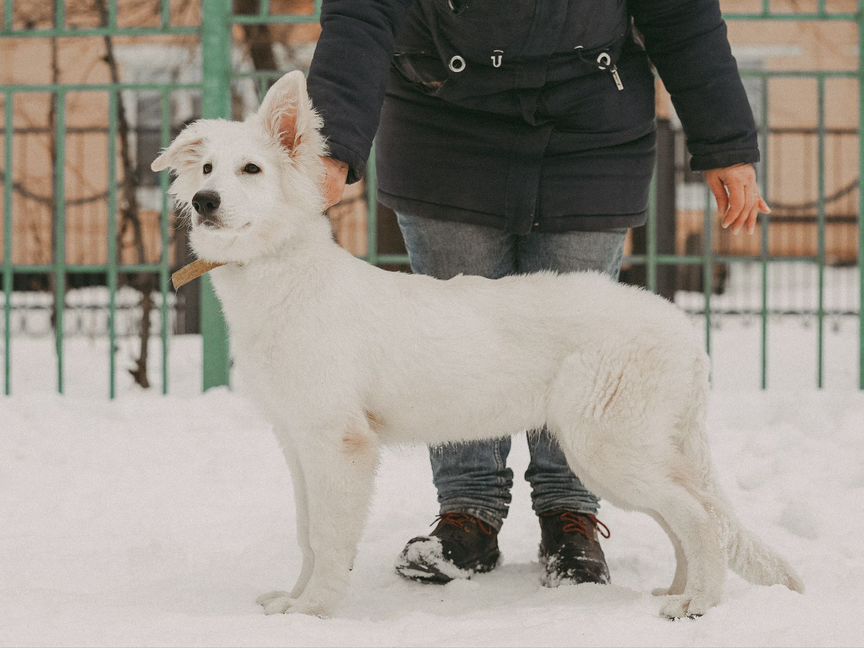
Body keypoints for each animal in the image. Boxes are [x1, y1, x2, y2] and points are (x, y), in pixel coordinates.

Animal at [154, 69, 804, 616]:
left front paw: (313, 610)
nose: (206, 202)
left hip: (604, 448)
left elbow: (326, 536)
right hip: (632, 449)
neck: (284, 273)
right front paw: (292, 599)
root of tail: (680, 328)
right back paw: (676, 589)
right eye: (207, 170)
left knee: (697, 518)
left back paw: (698, 604)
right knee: (686, 518)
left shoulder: (339, 445)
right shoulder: (297, 442)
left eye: (251, 171)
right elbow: (305, 534)